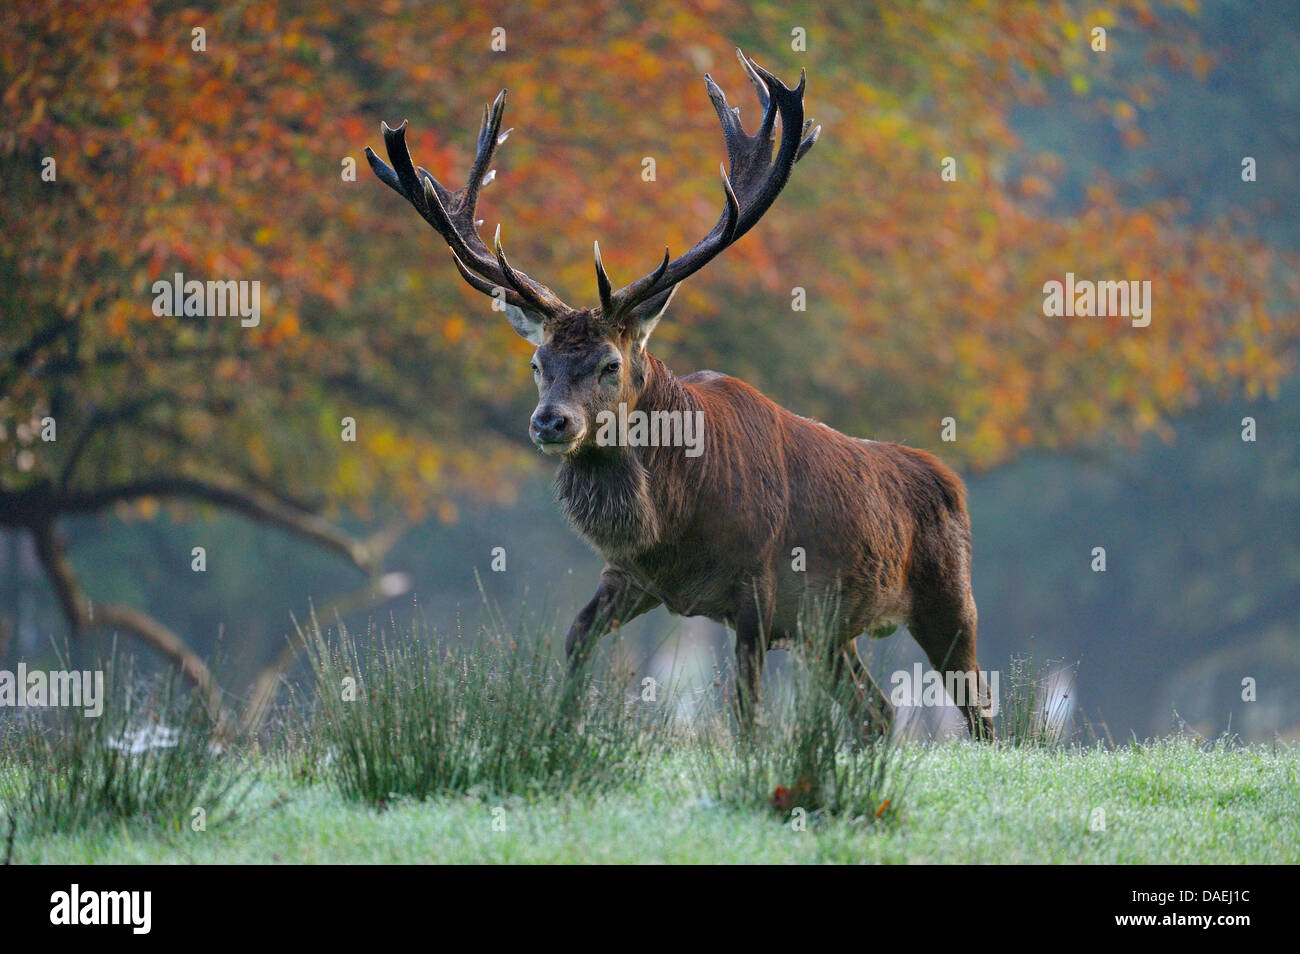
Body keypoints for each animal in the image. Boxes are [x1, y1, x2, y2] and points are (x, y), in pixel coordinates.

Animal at [366, 50, 995, 739]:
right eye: (537, 362)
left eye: (610, 364)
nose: (549, 423)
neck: (677, 522)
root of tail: (950, 481)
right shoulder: (631, 577)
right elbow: (575, 638)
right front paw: (556, 732)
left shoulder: (758, 584)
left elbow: (744, 708)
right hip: (828, 633)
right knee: (877, 712)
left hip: (949, 598)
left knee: (983, 713)